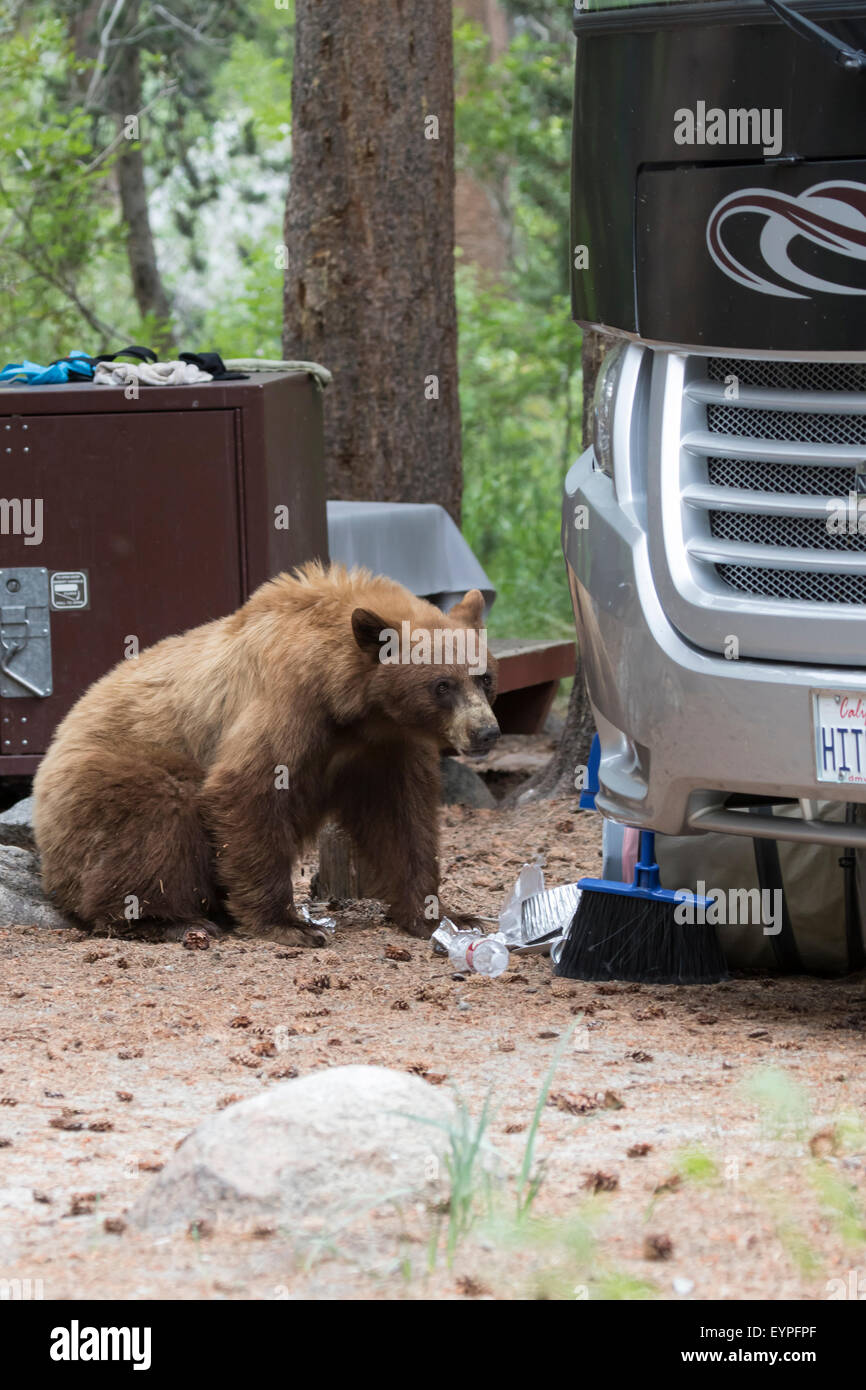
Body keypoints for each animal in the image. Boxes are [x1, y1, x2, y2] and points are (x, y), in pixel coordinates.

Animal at [32, 562, 499, 945]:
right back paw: (169, 920)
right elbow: (248, 790)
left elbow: (402, 820)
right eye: (442, 685)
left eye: (485, 677)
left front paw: (445, 915)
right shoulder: (287, 703)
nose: (487, 732)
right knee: (155, 820)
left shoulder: (384, 747)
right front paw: (291, 925)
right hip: (111, 772)